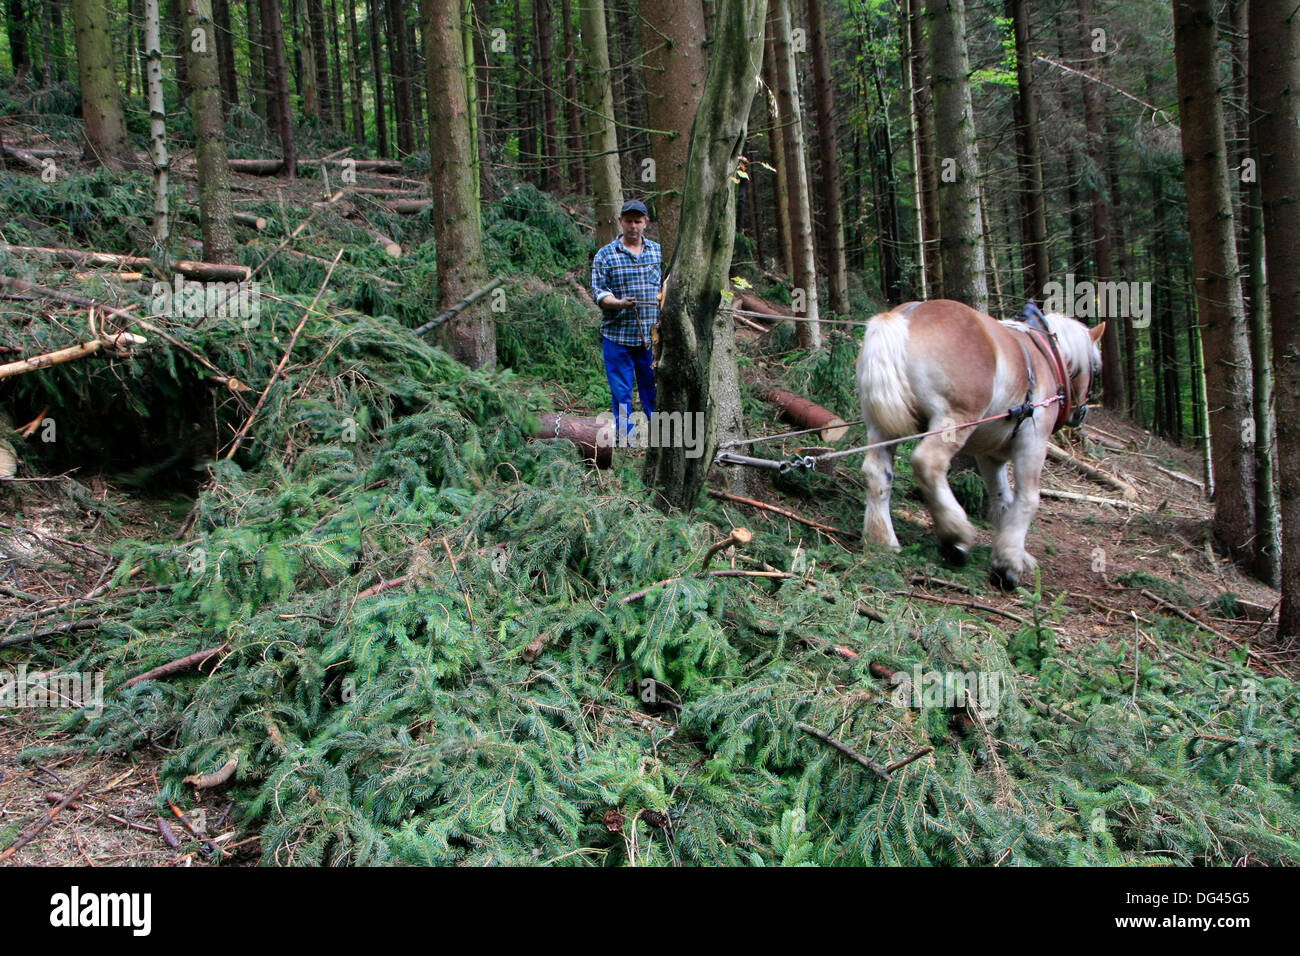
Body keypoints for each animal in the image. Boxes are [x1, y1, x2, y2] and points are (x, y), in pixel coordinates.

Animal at [855, 299, 1105, 589]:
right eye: (1096, 368)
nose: (1082, 412)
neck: (1047, 356)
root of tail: (906, 316)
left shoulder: (991, 456)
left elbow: (1002, 499)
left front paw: (1012, 550)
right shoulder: (1033, 439)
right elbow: (1027, 499)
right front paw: (1009, 562)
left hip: (880, 425)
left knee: (877, 473)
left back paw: (882, 541)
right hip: (955, 419)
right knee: (928, 464)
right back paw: (956, 535)